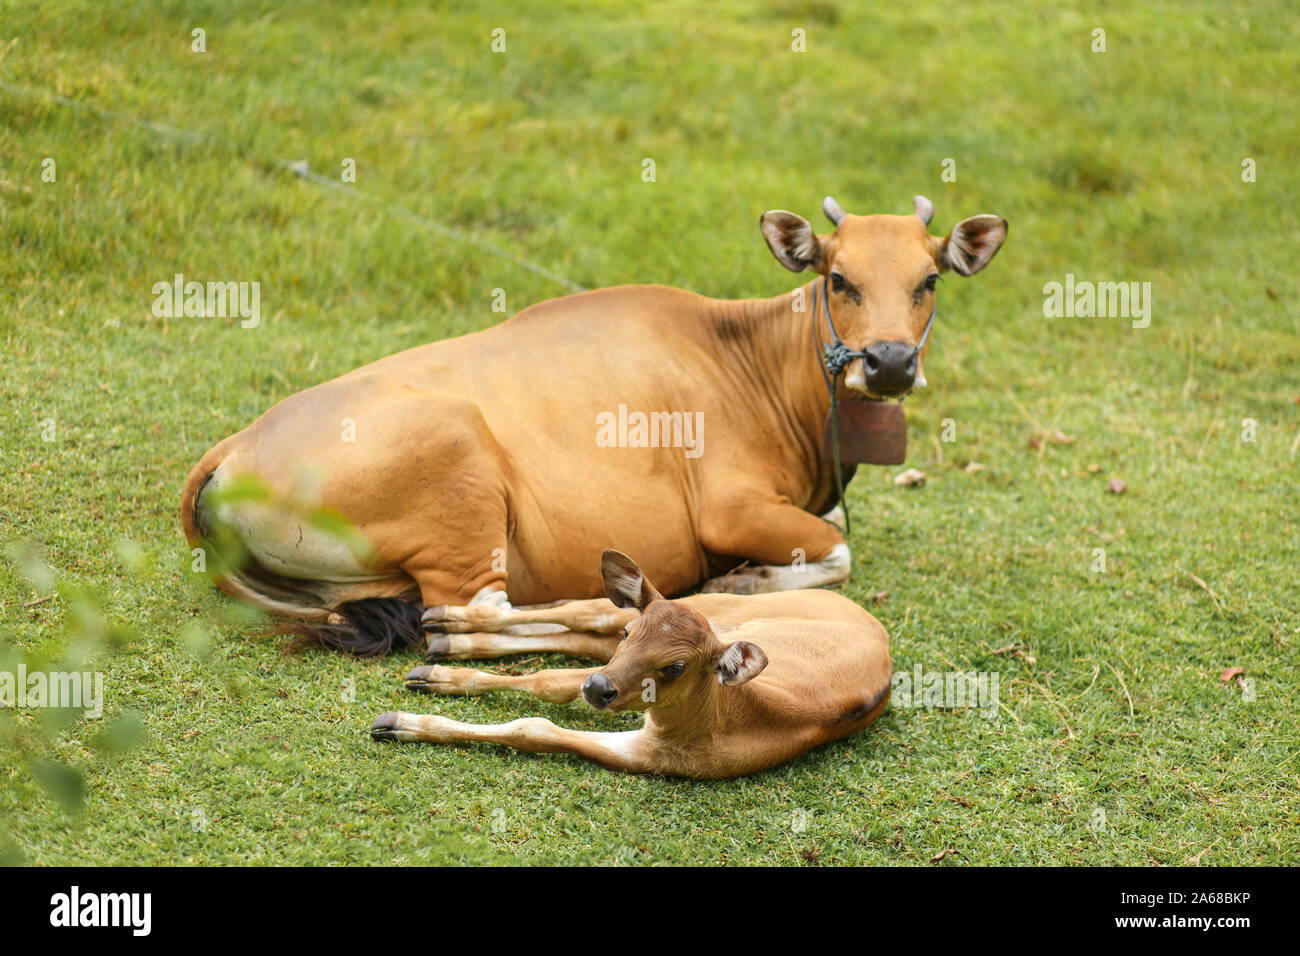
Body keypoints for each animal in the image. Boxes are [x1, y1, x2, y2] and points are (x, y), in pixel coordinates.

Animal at [180, 195, 1007, 656]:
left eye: (929, 281)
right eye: (838, 279)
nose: (891, 362)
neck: (748, 357)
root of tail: (234, 448)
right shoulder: (731, 509)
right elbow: (838, 551)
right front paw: (746, 579)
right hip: (460, 480)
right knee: (471, 611)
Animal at [371, 550, 893, 779]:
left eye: (677, 668)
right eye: (632, 636)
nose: (599, 688)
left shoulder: (643, 752)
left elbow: (535, 726)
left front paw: (398, 722)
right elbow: (548, 686)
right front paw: (412, 701)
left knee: (579, 635)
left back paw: (443, 643)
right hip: (711, 601)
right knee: (589, 612)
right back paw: (444, 623)